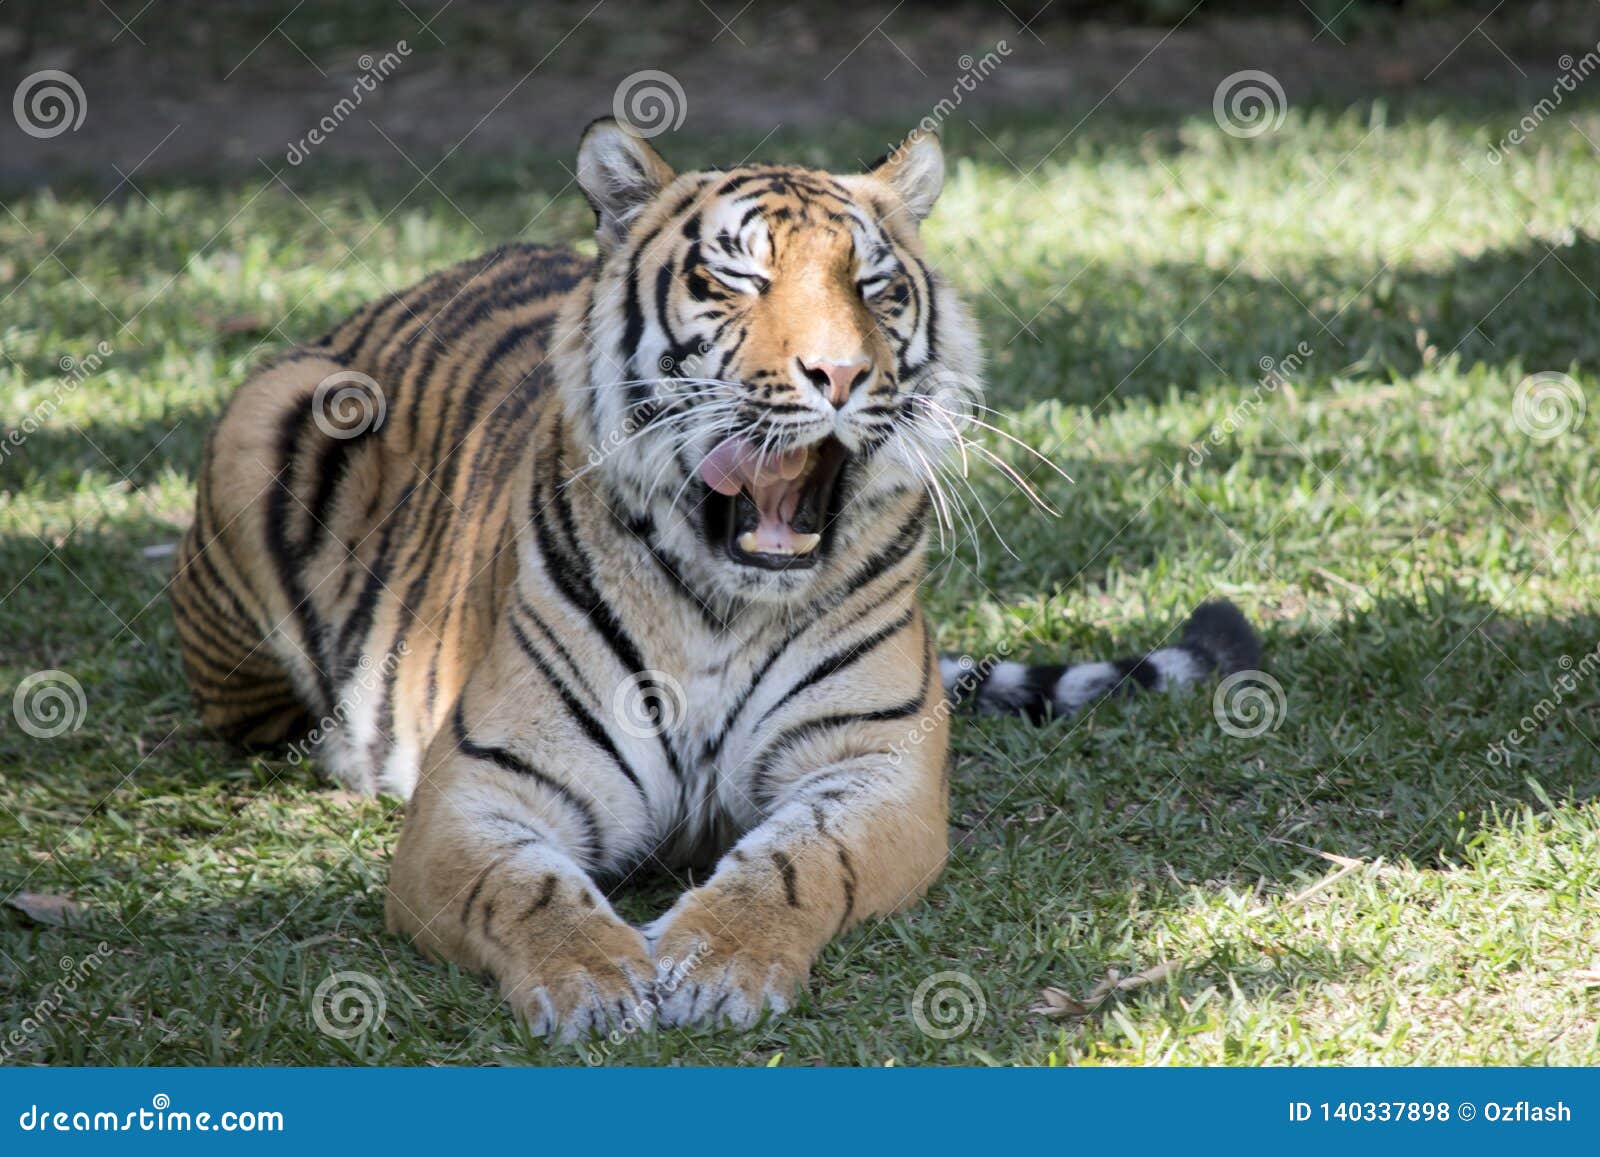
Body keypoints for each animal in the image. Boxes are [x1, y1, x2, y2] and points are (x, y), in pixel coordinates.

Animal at [171, 118, 1260, 1042]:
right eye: (736, 278)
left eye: (874, 285)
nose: (840, 375)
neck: (723, 606)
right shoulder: (479, 784)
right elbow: (525, 888)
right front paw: (592, 977)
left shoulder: (877, 766)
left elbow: (795, 862)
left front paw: (716, 959)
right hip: (268, 423)